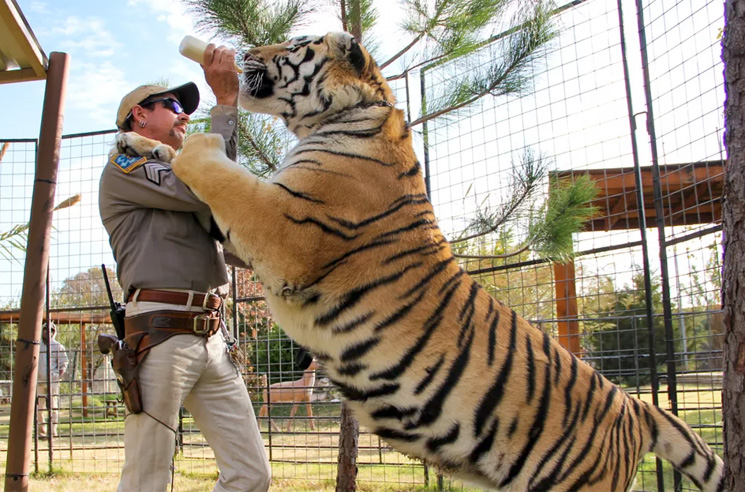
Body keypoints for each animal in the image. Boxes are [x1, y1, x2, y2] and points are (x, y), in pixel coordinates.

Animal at [141, 31, 723, 491]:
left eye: (292, 45)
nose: (243, 54)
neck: (344, 114)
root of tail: (636, 406)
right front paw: (144, 145)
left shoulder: (285, 230)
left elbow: (220, 173)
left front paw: (188, 144)